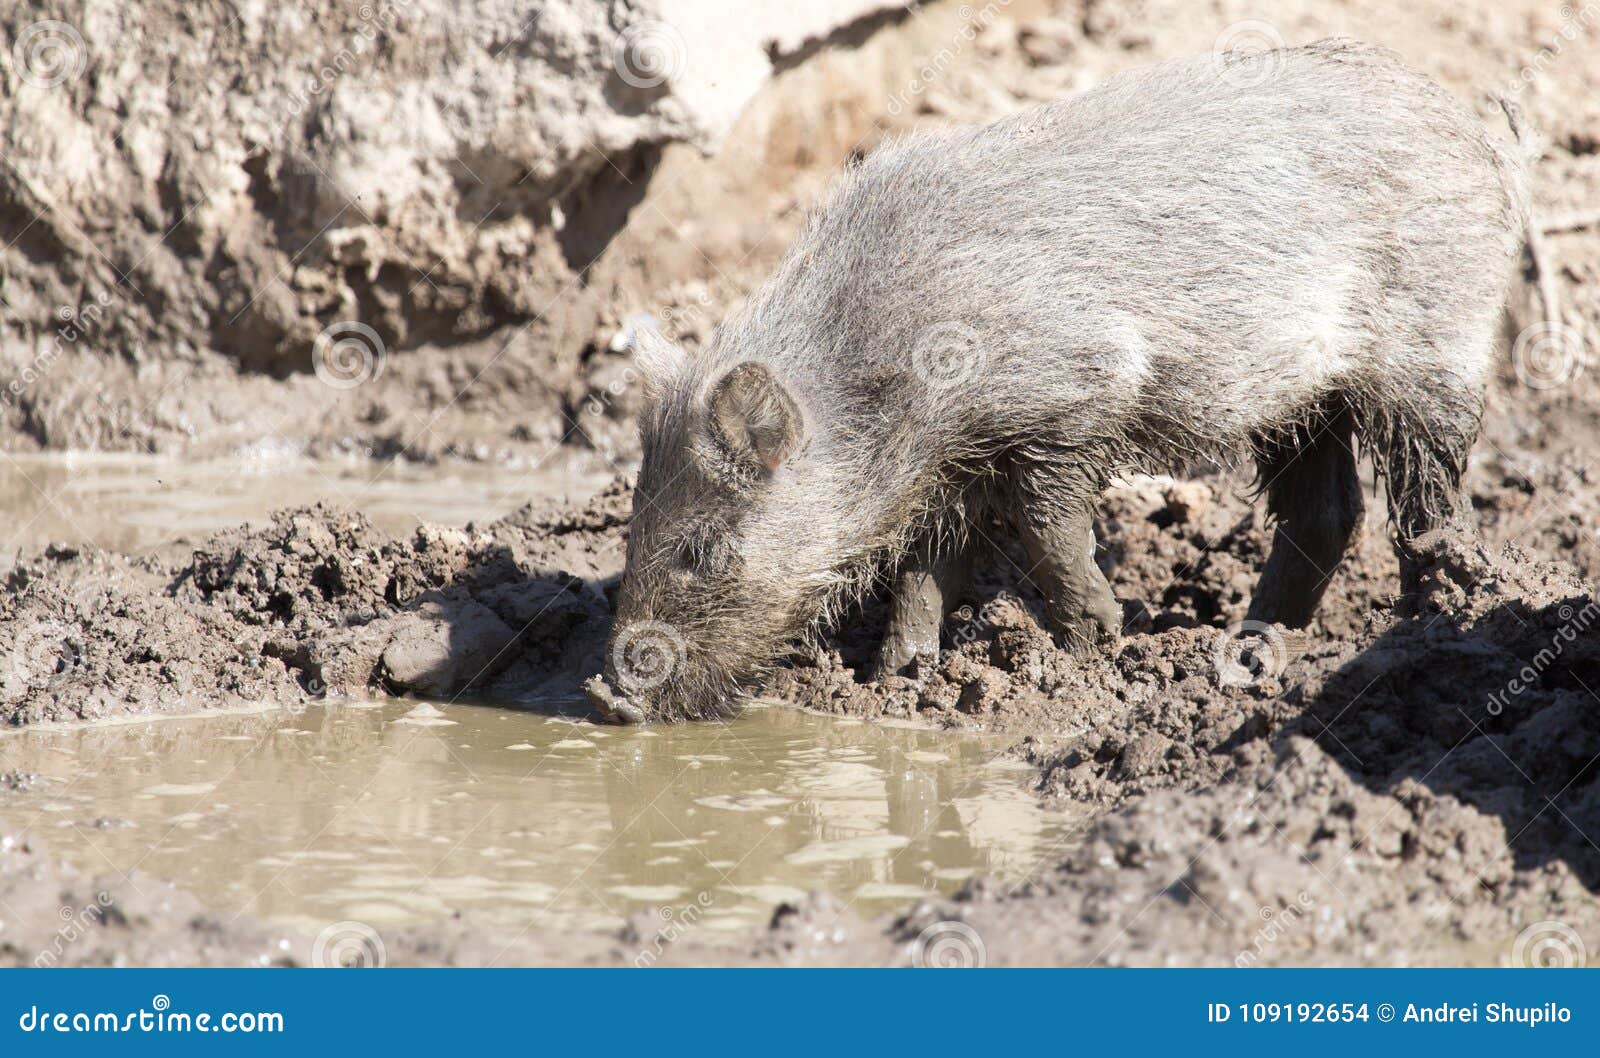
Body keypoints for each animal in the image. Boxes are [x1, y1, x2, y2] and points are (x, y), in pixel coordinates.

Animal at [585, 38, 1530, 723]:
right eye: (633, 525)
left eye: (702, 550)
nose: (610, 698)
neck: (886, 363)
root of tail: (1476, 132)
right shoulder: (951, 465)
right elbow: (927, 565)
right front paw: (901, 678)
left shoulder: (1075, 396)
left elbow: (1046, 529)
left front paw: (1097, 640)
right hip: (1304, 402)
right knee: (1328, 511)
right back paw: (1251, 646)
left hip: (1435, 346)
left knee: (1426, 498)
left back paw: (1424, 612)